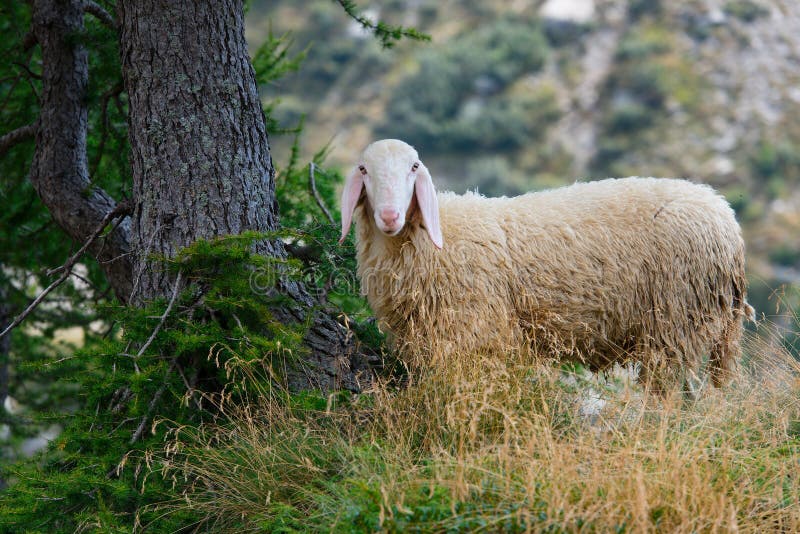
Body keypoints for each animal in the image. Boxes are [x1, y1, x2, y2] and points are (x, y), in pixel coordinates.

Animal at [339, 139, 753, 391]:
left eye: (414, 167)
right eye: (363, 169)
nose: (390, 215)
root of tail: (726, 218)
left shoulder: (475, 338)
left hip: (675, 318)